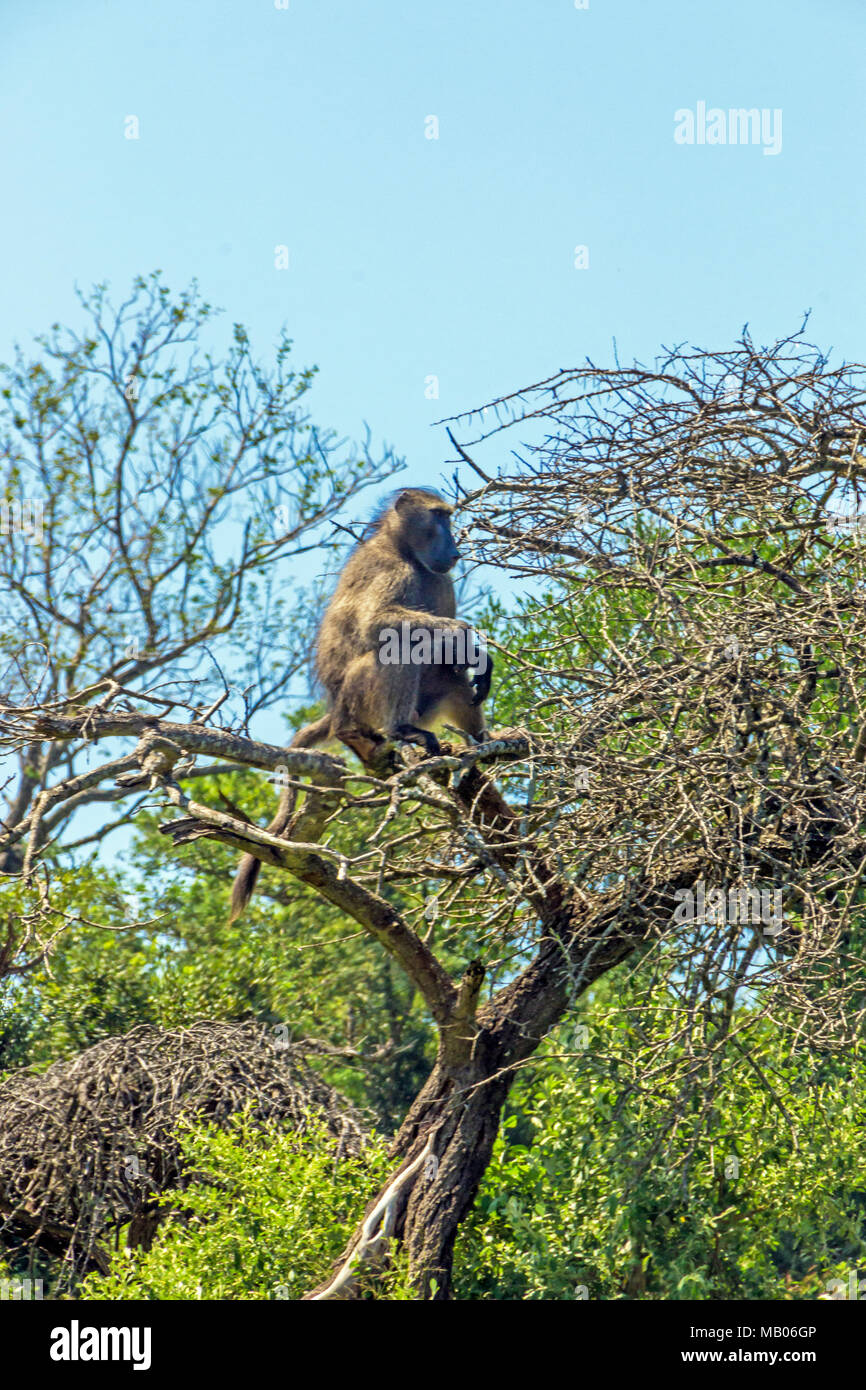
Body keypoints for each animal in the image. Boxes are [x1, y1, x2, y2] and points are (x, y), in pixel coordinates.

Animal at [228, 488, 492, 920]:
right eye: (440, 517)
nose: (455, 551)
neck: (401, 548)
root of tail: (336, 708)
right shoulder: (392, 571)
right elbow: (378, 624)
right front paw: (466, 635)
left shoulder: (440, 577)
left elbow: (448, 657)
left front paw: (476, 656)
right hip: (359, 697)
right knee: (398, 645)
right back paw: (399, 731)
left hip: (424, 703)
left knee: (450, 679)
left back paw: (482, 744)